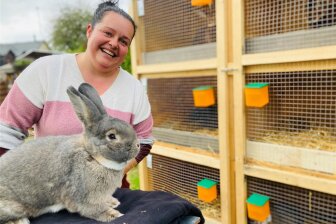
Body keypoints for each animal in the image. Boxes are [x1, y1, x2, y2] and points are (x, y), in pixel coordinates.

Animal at [0, 83, 140, 224]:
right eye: (111, 136)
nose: (137, 145)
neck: (93, 157)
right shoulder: (85, 197)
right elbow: (95, 210)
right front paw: (115, 215)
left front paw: (113, 202)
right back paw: (19, 221)